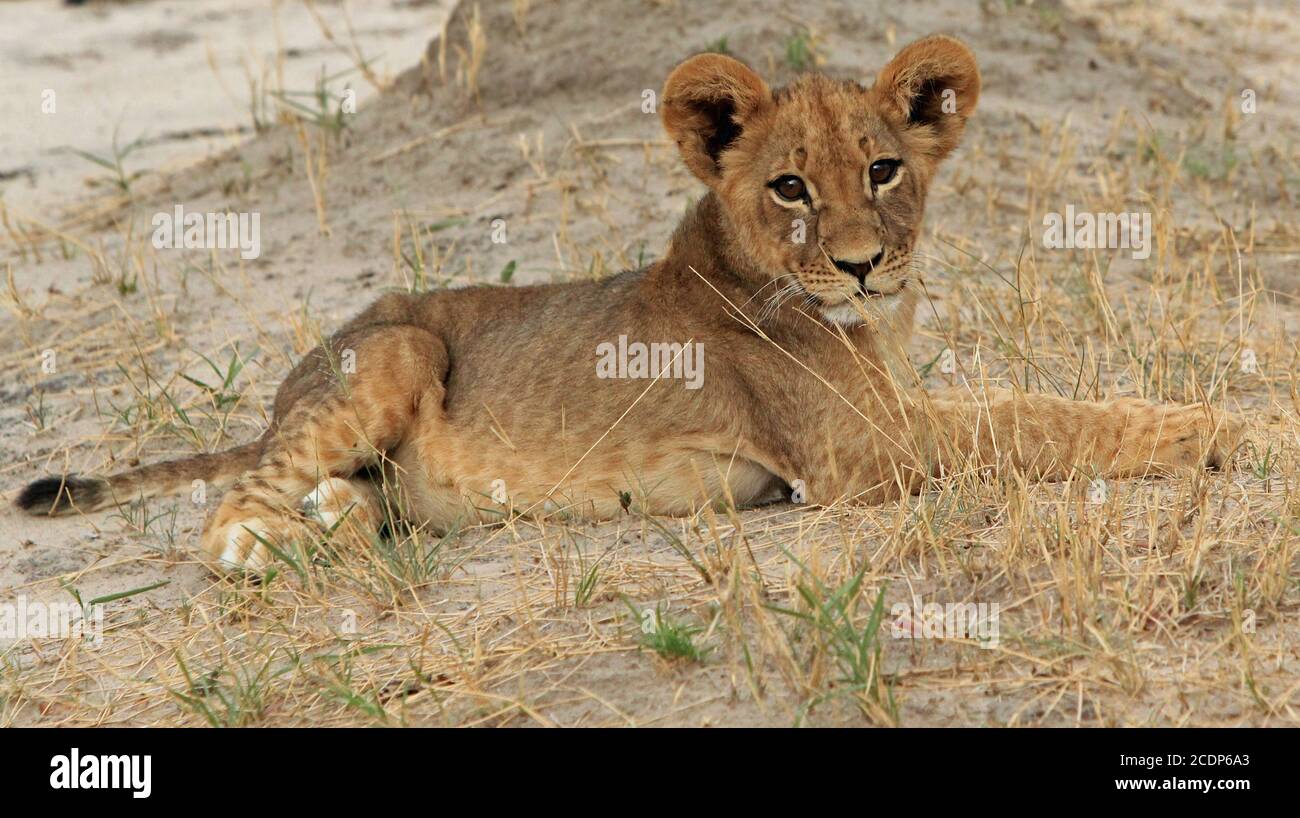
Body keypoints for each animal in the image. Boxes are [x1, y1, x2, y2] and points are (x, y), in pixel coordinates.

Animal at [16, 36, 1239, 572]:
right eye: (790, 186)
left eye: (884, 168)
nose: (858, 265)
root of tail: (280, 390)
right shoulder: (863, 455)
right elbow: (1039, 418)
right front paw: (1218, 426)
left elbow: (1025, 403)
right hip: (398, 346)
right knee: (226, 514)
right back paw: (282, 547)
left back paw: (342, 522)